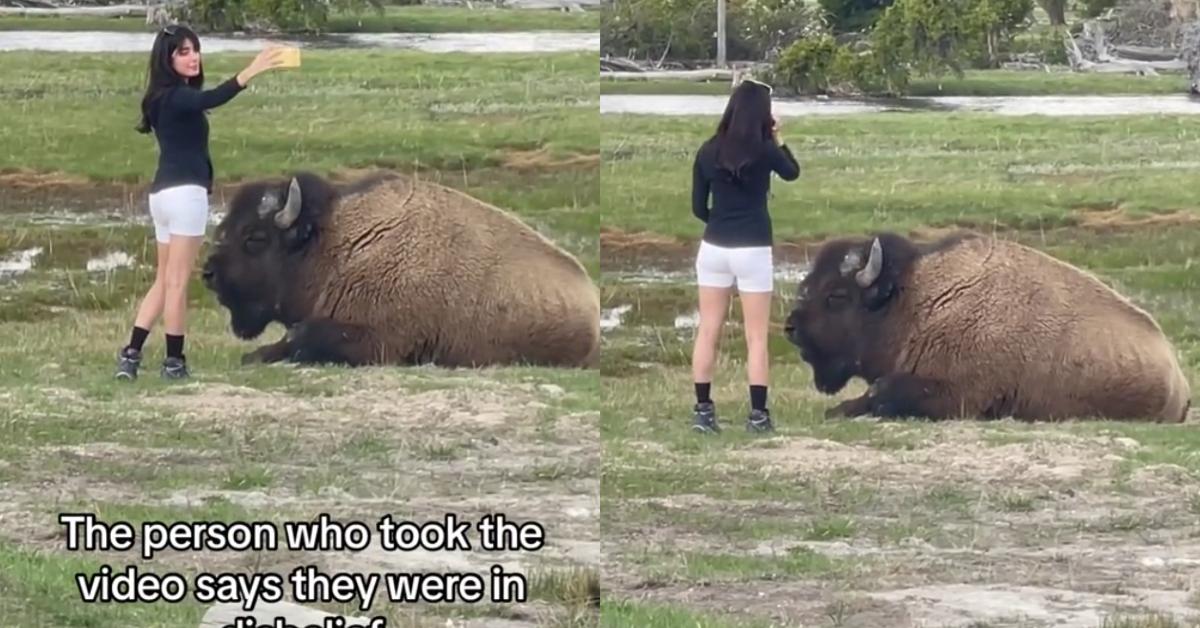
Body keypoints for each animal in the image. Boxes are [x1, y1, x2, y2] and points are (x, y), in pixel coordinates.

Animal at [201, 170, 600, 368]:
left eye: (255, 237)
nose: (208, 274)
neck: (337, 244)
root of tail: (590, 297)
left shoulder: (381, 339)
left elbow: (301, 336)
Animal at [784, 232, 1191, 422]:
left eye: (836, 295)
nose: (791, 327)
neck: (918, 301)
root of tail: (1178, 377)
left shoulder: (958, 393)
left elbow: (882, 391)